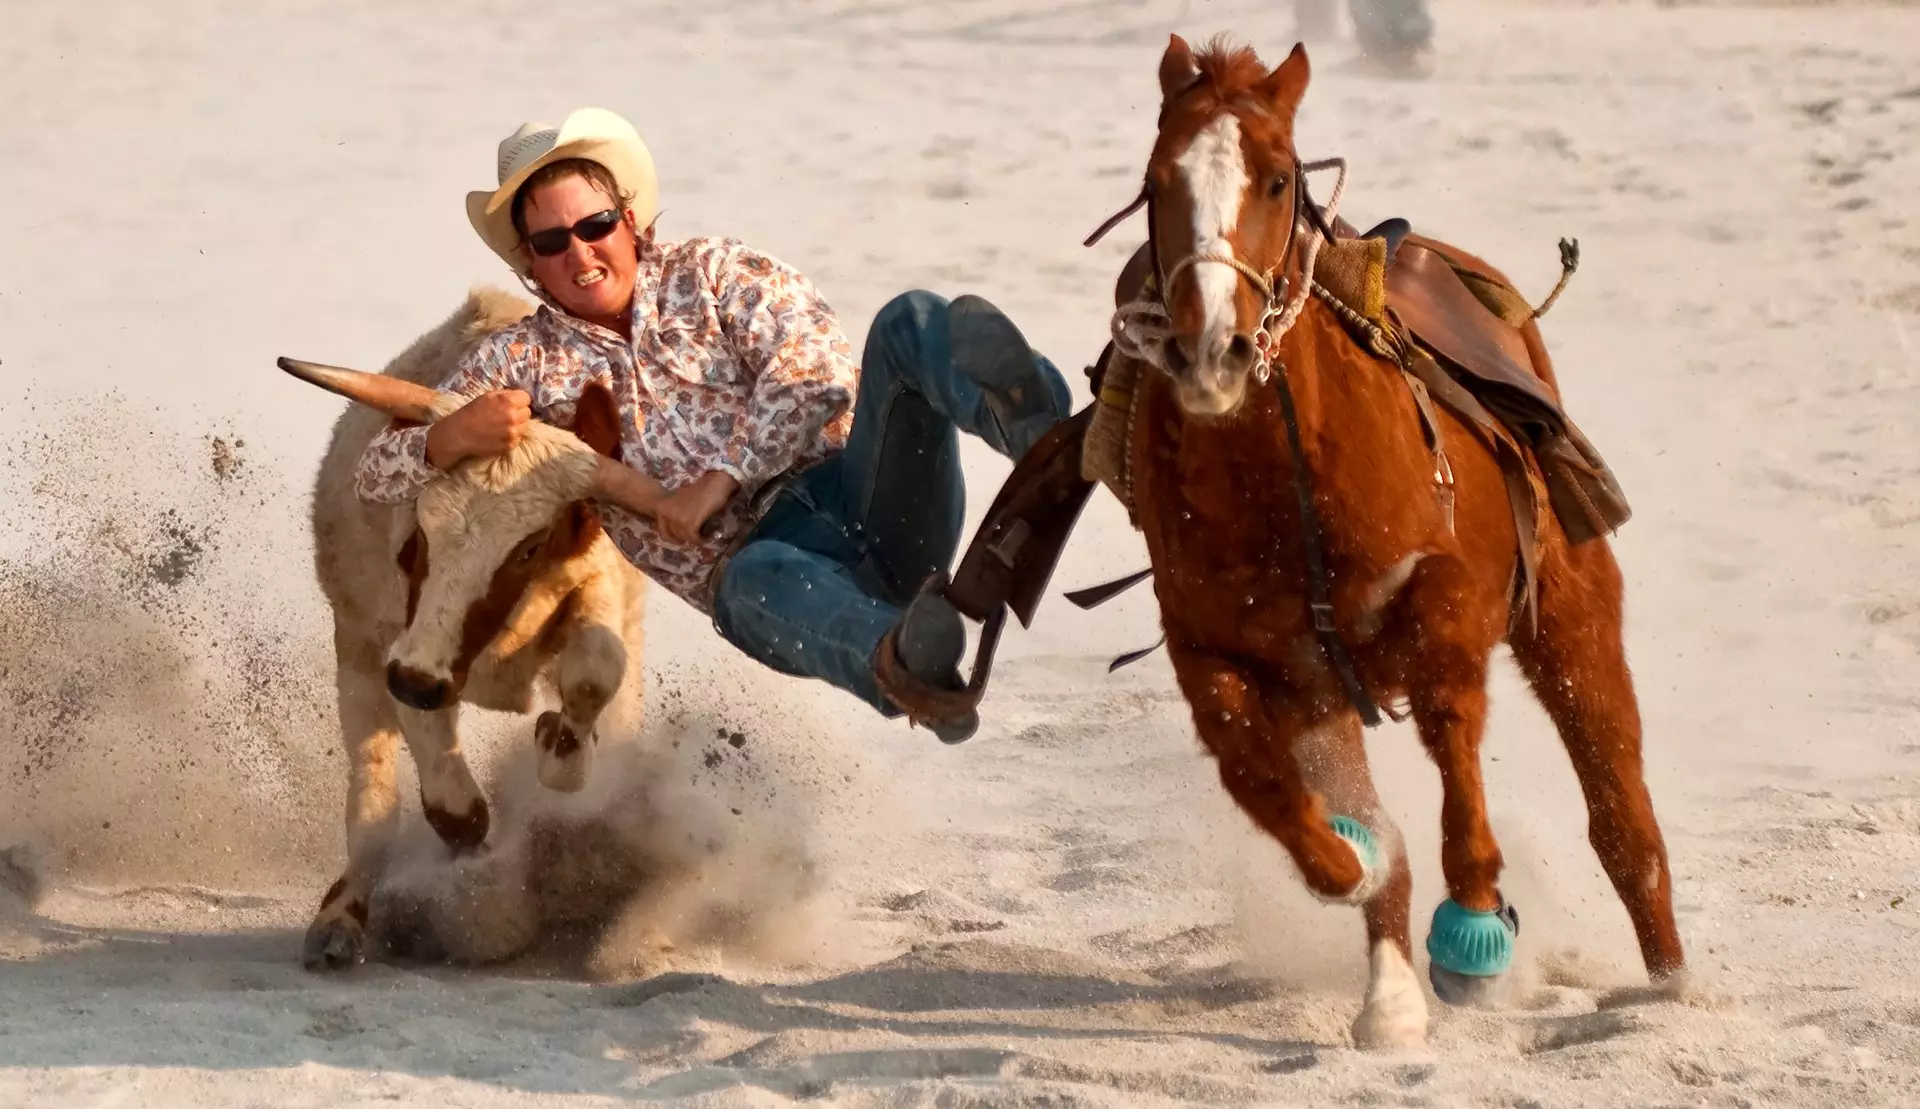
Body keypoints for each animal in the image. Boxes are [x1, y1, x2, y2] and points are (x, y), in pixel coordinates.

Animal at [1113, 36, 1681, 1043]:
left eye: (1275, 180)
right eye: (1155, 181)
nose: (1210, 348)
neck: (1286, 473)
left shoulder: (1448, 601)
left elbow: (1454, 741)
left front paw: (1475, 923)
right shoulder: (1225, 653)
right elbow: (1262, 777)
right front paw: (1353, 868)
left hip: (1573, 608)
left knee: (1622, 816)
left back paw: (1670, 990)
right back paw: (1389, 997)